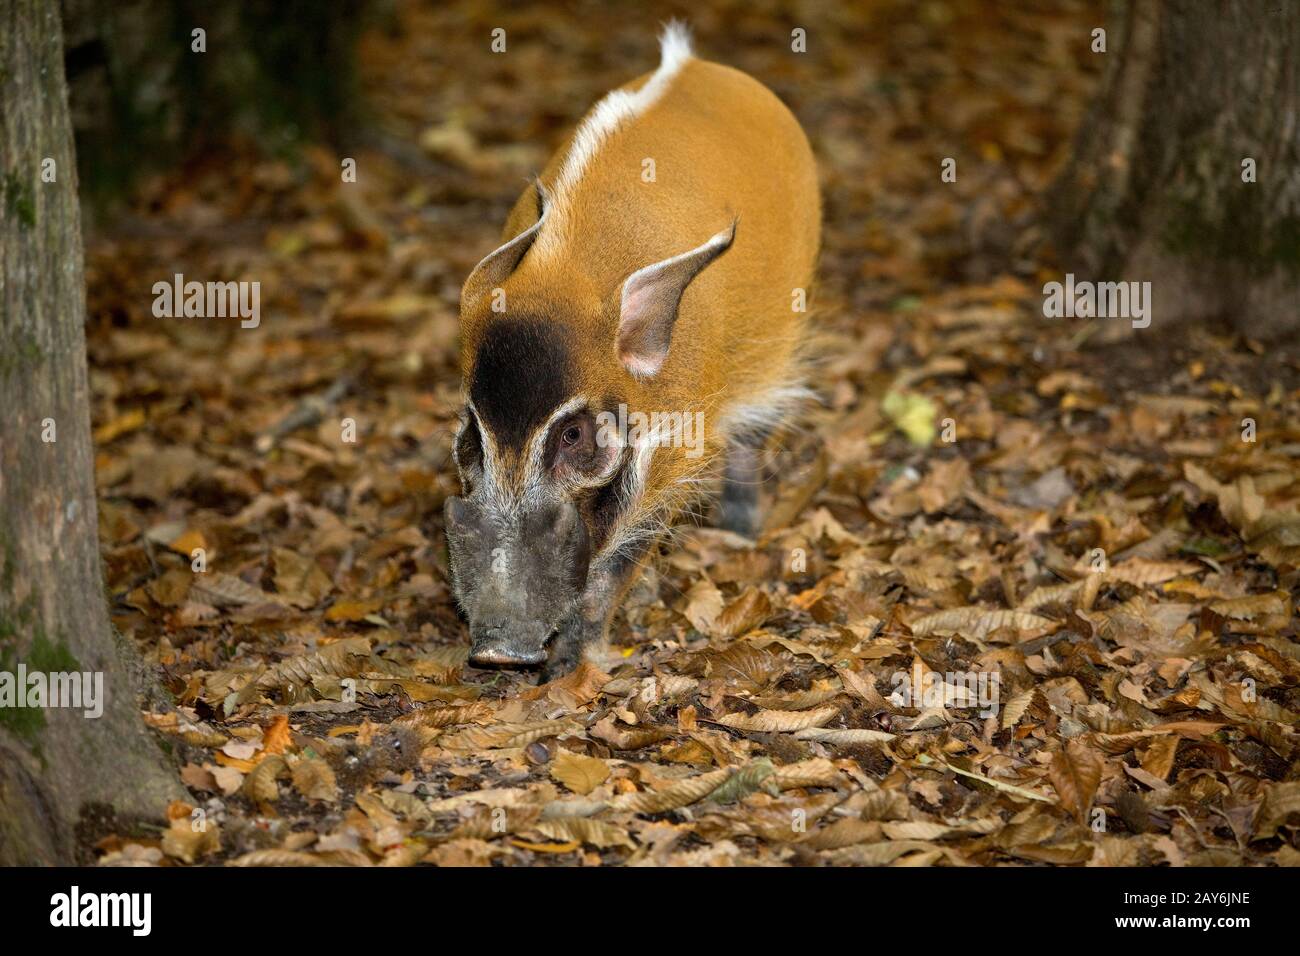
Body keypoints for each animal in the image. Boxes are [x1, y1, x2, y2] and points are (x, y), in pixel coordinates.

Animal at [444, 22, 820, 679]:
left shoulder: (676, 451)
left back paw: (741, 533)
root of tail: (693, 62)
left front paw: (575, 668)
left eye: (573, 435)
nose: (496, 652)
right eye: (471, 432)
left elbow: (616, 567)